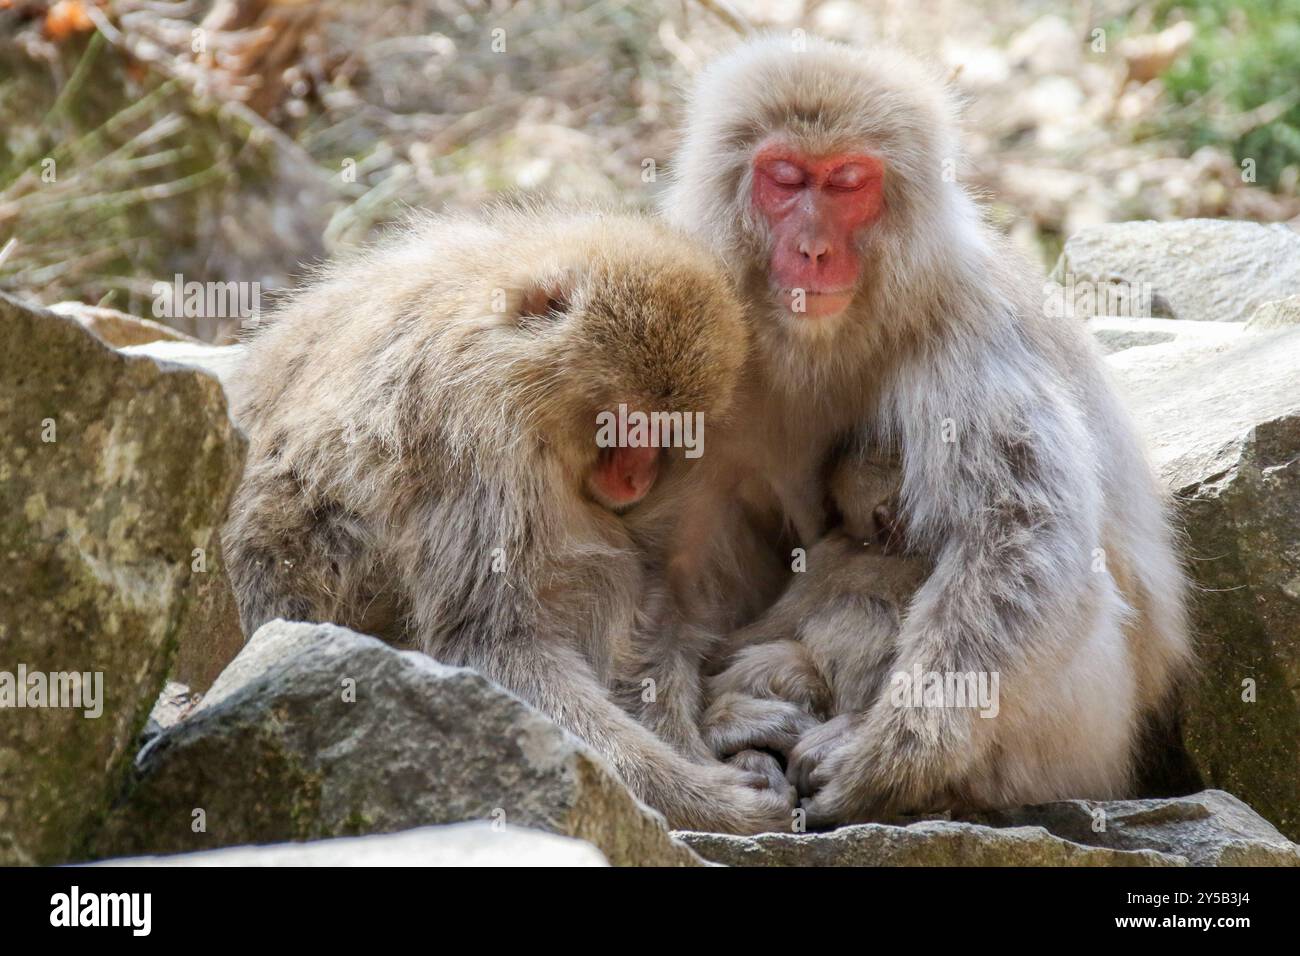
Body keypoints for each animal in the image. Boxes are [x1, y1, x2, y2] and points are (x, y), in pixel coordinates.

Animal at [222, 207, 797, 834]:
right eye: (626, 423)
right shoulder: (477, 432)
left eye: (668, 432)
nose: (637, 477)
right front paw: (705, 798)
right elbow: (494, 647)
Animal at [661, 36, 1193, 826]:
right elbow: (666, 569)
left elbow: (1016, 530)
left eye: (849, 182)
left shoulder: (968, 325)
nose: (813, 249)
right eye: (785, 179)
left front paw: (887, 758)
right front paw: (691, 757)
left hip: (1078, 744)